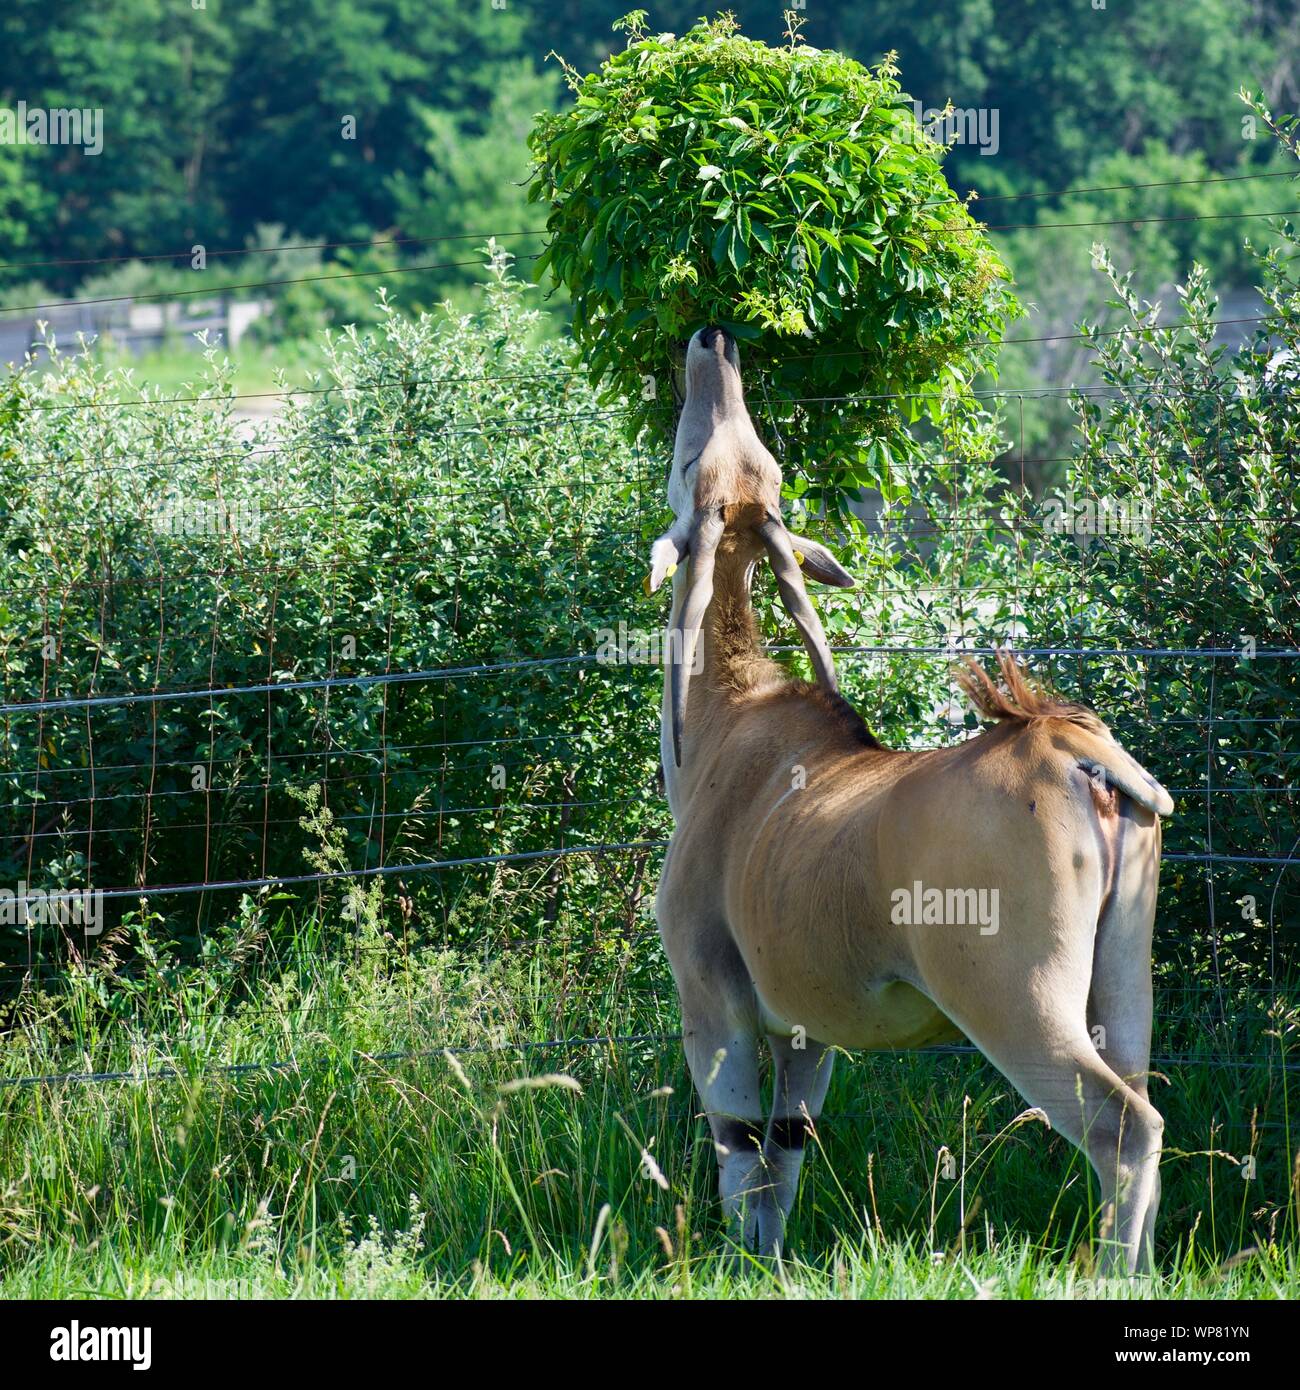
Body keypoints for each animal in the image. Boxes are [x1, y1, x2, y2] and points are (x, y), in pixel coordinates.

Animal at [649, 325, 1173, 1274]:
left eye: (682, 460)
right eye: (759, 462)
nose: (716, 339)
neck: (729, 718)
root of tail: (1076, 755)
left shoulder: (713, 1003)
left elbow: (739, 1149)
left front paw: (743, 1264)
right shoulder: (806, 1033)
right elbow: (785, 1149)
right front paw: (771, 1264)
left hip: (1017, 1007)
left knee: (1125, 1127)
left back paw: (1114, 1279)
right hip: (1123, 992)